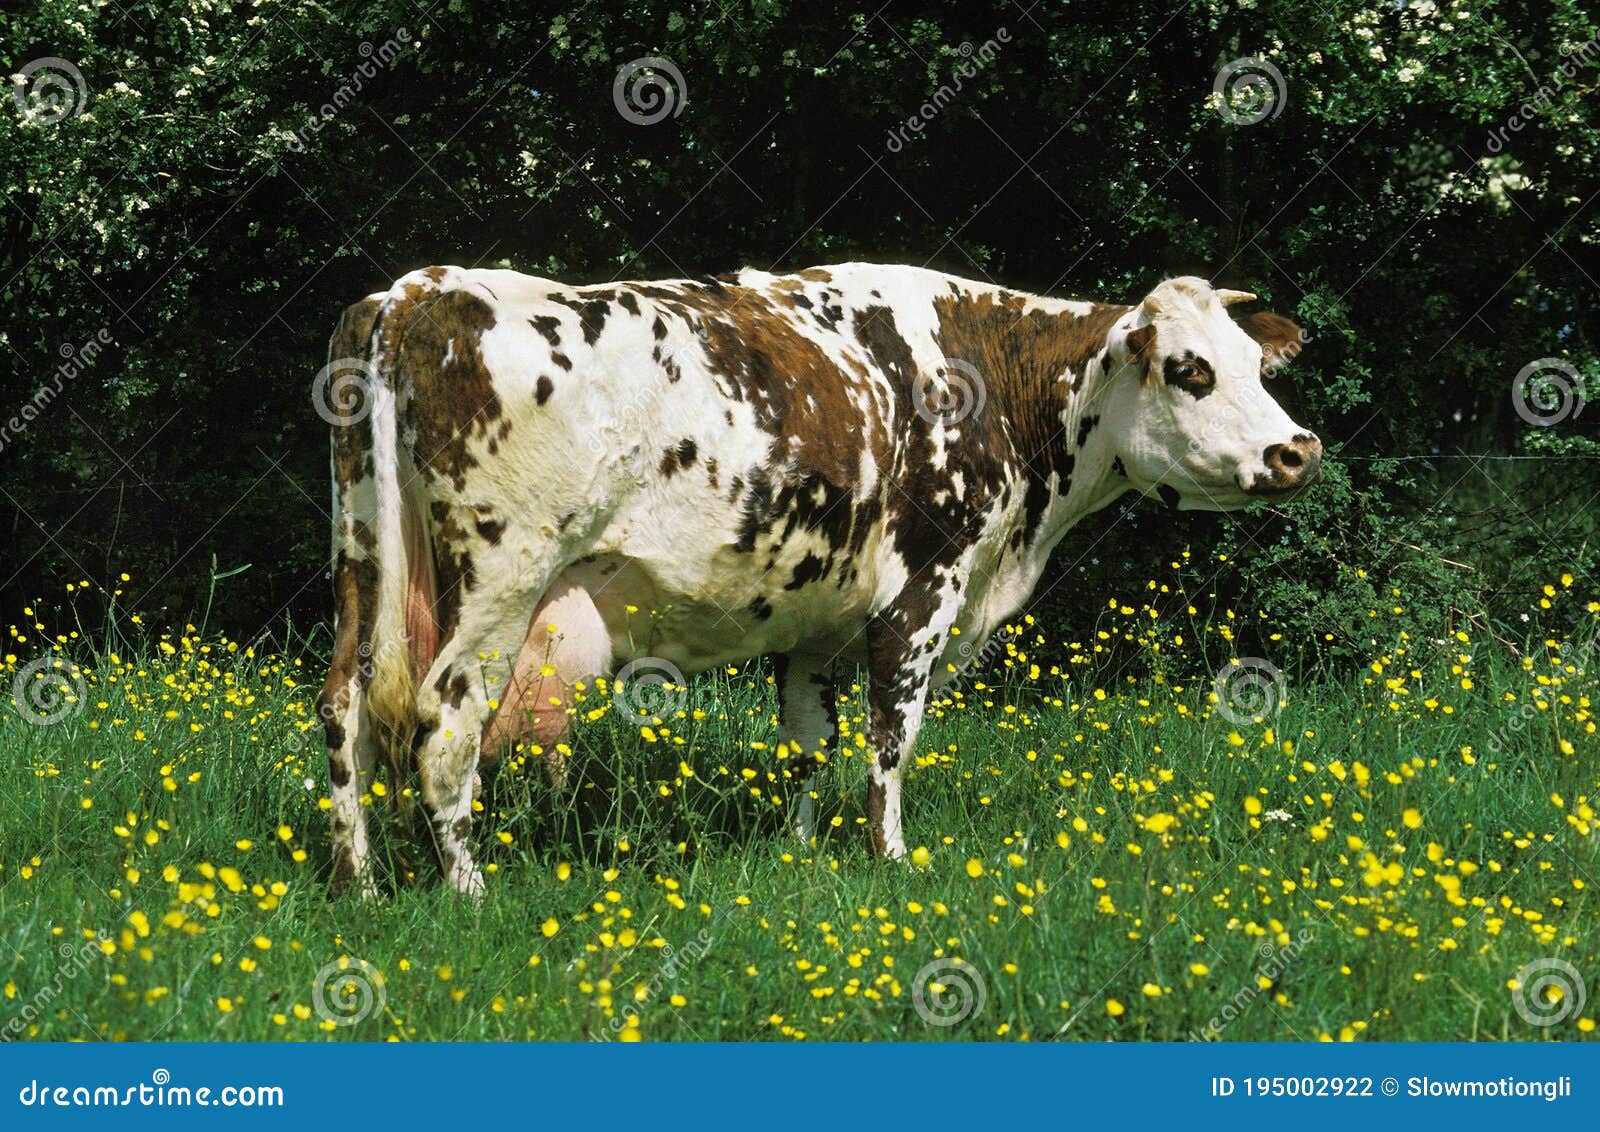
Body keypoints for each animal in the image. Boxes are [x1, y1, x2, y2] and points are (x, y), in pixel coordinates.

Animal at [314, 263, 1320, 895]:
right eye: (1190, 371)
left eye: (1254, 363)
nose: (1297, 449)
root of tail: (420, 289)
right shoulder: (924, 589)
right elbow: (890, 741)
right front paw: (892, 858)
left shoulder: (813, 616)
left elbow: (808, 738)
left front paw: (797, 848)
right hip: (499, 580)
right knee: (445, 724)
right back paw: (469, 891)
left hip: (362, 559)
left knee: (346, 708)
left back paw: (359, 885)